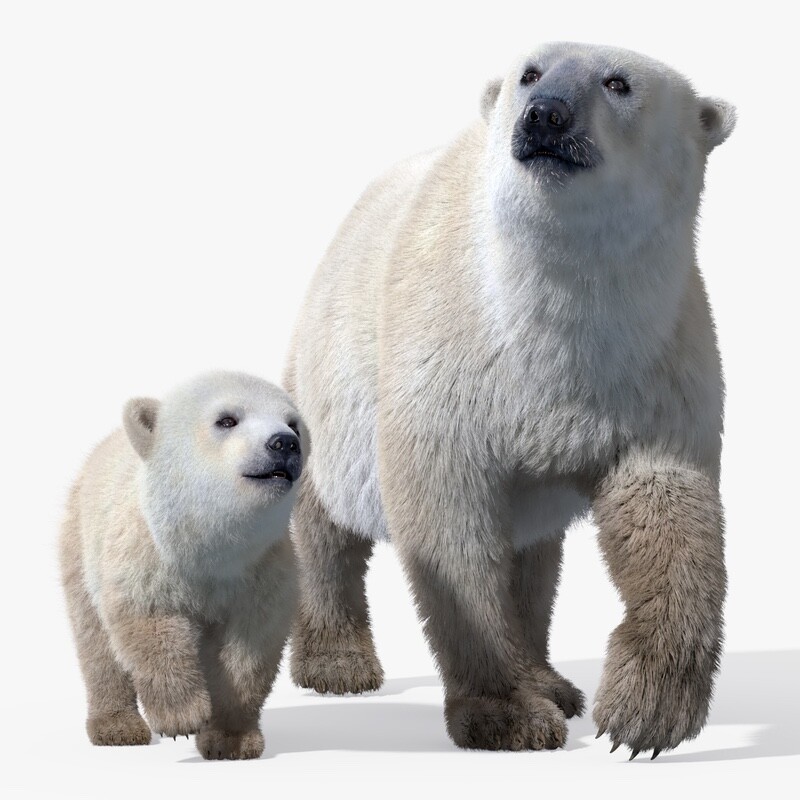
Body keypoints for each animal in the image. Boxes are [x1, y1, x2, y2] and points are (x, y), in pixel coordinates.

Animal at [59, 371, 306, 760]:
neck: (208, 543)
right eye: (226, 420)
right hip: (80, 546)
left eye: (294, 423)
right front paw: (181, 717)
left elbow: (249, 648)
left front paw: (231, 740)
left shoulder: (263, 570)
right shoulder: (147, 555)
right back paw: (117, 727)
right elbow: (151, 622)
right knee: (96, 642)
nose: (284, 443)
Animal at [284, 42, 735, 758]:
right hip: (329, 369)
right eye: (530, 71)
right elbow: (451, 531)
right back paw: (337, 662)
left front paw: (643, 714)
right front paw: (508, 715)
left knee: (531, 559)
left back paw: (553, 680)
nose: (545, 114)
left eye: (618, 82)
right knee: (325, 514)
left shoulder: (654, 367)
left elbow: (668, 512)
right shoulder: (447, 354)